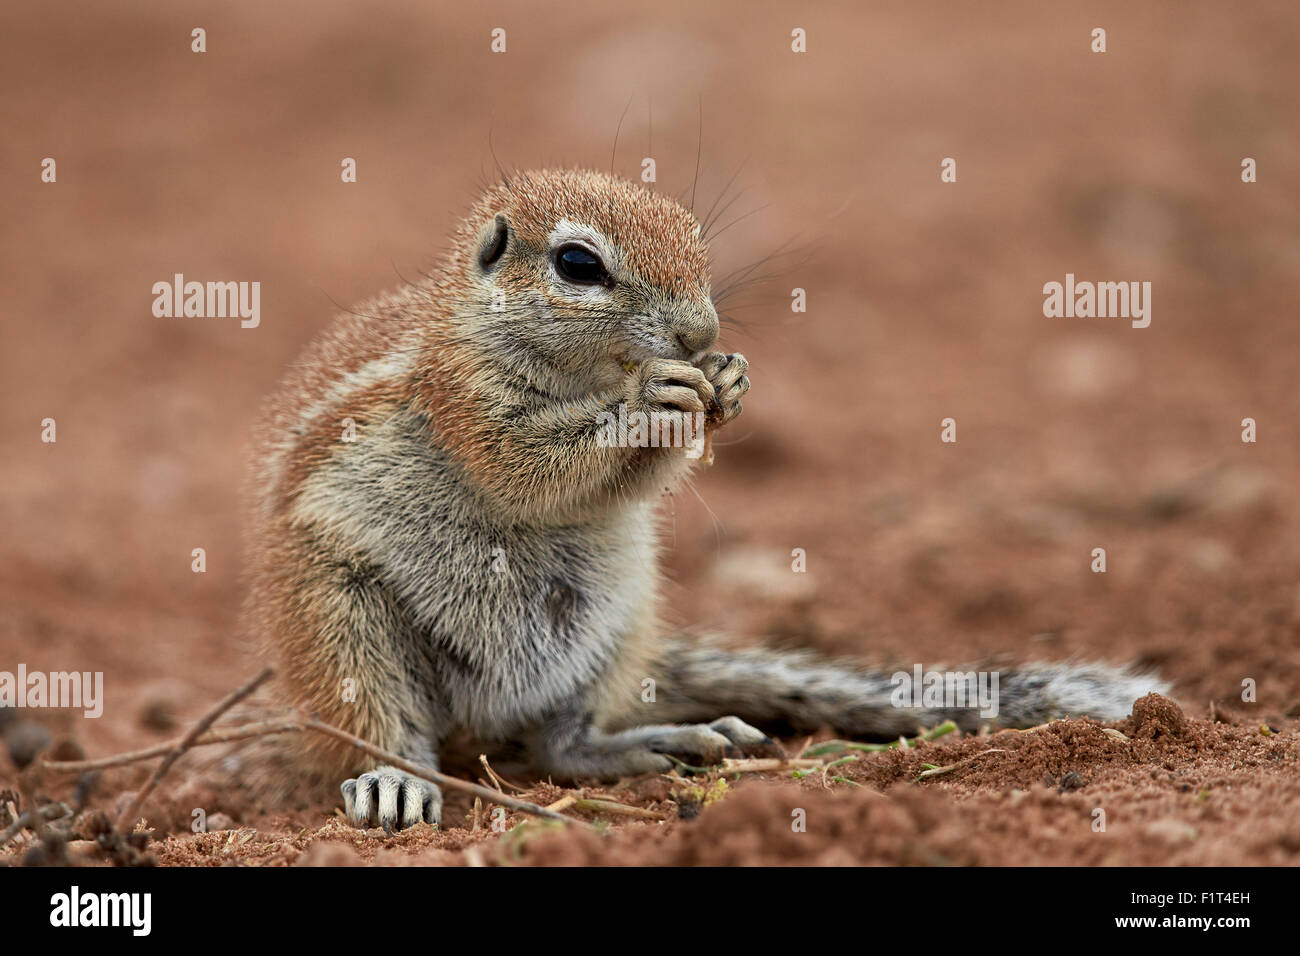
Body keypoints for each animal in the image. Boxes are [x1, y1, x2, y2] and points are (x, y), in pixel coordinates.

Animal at [246, 168, 1167, 831]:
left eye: (692, 238)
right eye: (578, 264)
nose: (700, 333)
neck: (577, 373)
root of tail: (482, 719)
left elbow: (632, 480)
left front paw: (726, 380)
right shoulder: (463, 398)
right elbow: (524, 463)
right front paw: (650, 398)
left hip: (613, 624)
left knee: (560, 746)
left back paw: (654, 739)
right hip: (340, 625)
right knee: (384, 727)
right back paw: (391, 783)